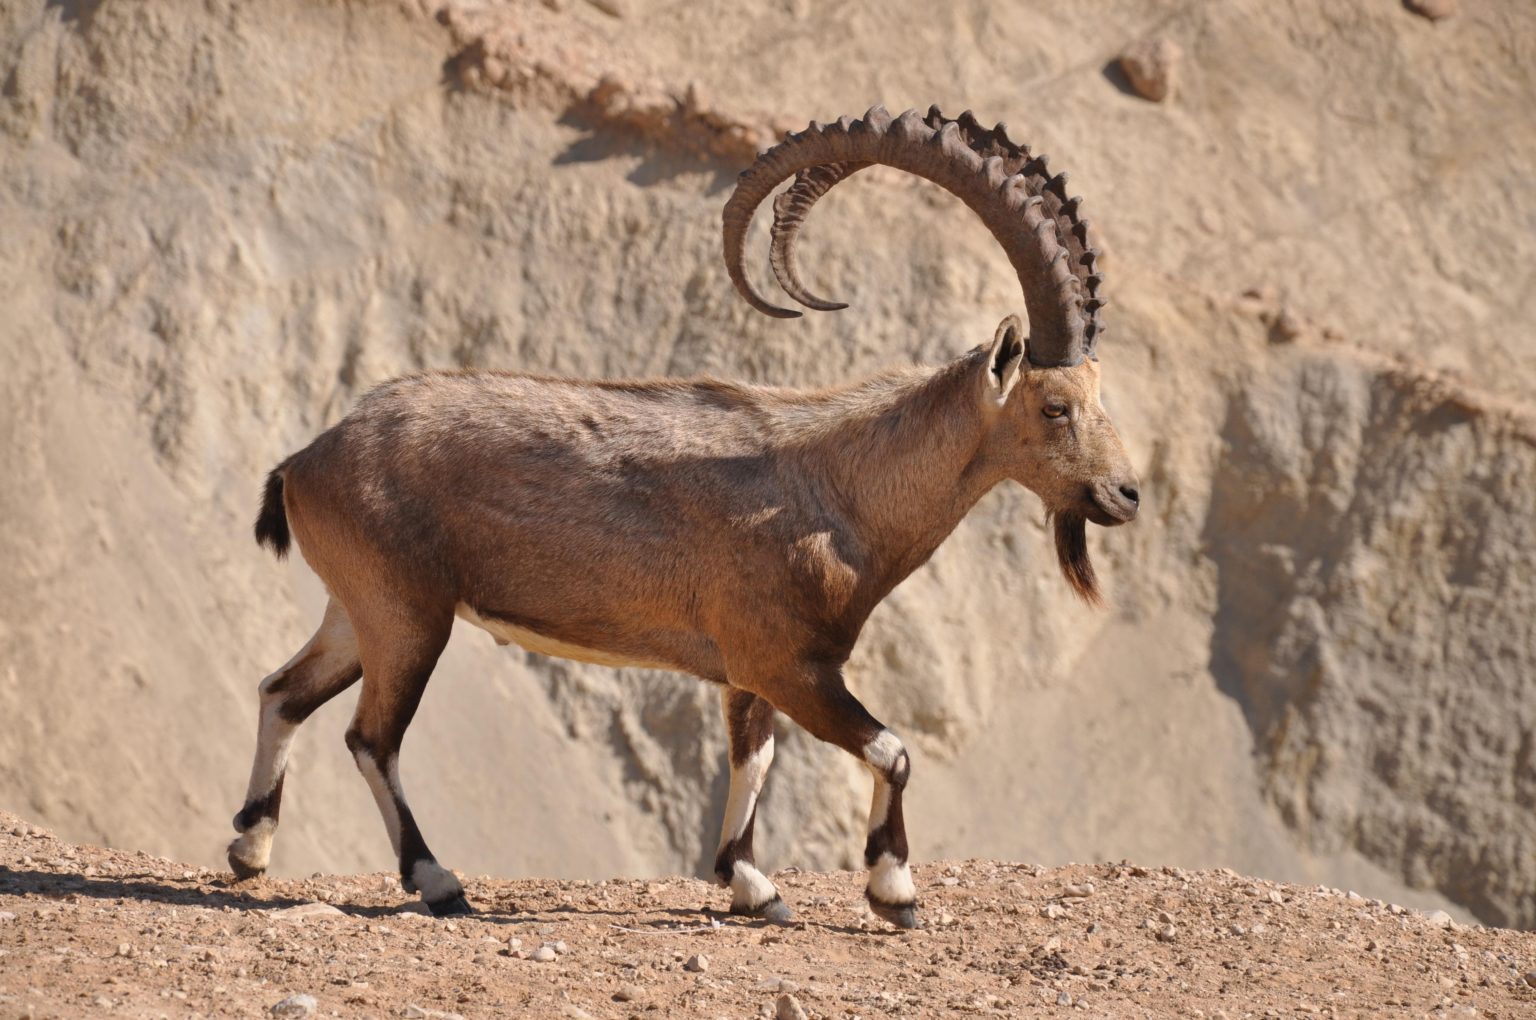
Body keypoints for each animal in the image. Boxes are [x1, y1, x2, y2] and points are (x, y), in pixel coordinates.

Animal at [228, 105, 1140, 929]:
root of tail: (308, 458)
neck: (838, 486)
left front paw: (751, 885)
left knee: (283, 691)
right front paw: (894, 892)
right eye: (1055, 406)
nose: (1126, 493)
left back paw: (249, 848)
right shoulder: (790, 665)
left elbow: (753, 758)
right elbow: (895, 751)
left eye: (1101, 393)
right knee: (370, 737)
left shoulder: (749, 674)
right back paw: (437, 880)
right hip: (409, 616)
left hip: (358, 608)